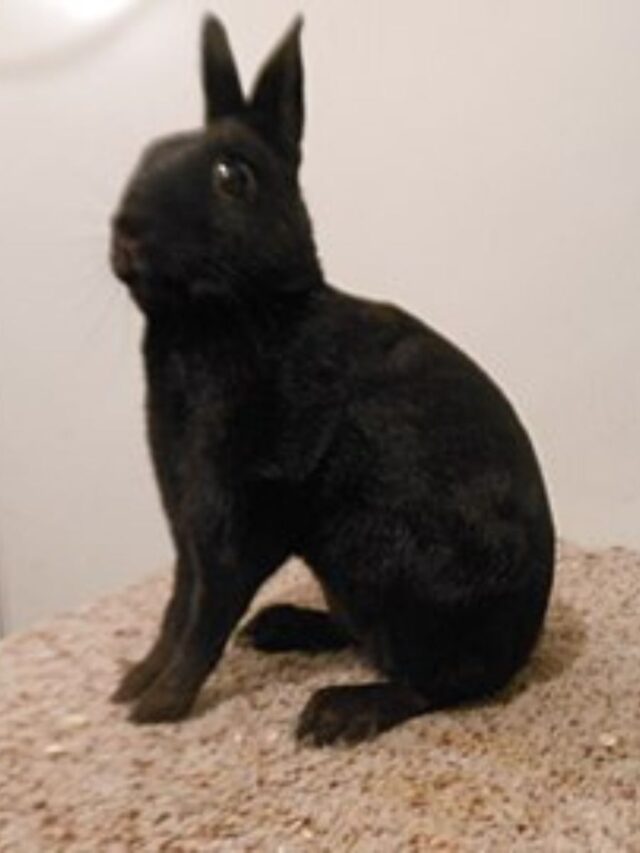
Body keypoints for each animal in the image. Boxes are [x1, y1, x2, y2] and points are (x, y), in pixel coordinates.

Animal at [109, 15, 555, 746]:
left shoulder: (242, 517)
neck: (229, 316)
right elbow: (179, 603)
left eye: (232, 176)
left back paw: (335, 711)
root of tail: (525, 640)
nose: (126, 236)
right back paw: (280, 628)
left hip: (411, 586)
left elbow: (204, 613)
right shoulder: (188, 525)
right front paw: (135, 682)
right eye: (148, 153)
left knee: (432, 683)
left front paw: (160, 705)